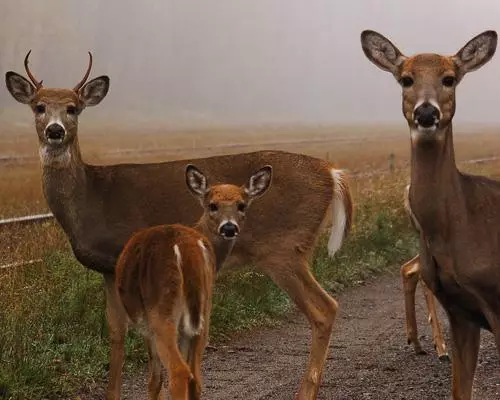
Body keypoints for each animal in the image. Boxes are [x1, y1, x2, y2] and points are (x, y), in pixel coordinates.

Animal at [113, 164, 272, 398]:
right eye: (212, 205)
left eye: (241, 205)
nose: (229, 228)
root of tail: (185, 248)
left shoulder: (147, 327)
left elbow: (154, 381)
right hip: (203, 310)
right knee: (195, 377)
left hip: (161, 310)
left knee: (179, 371)